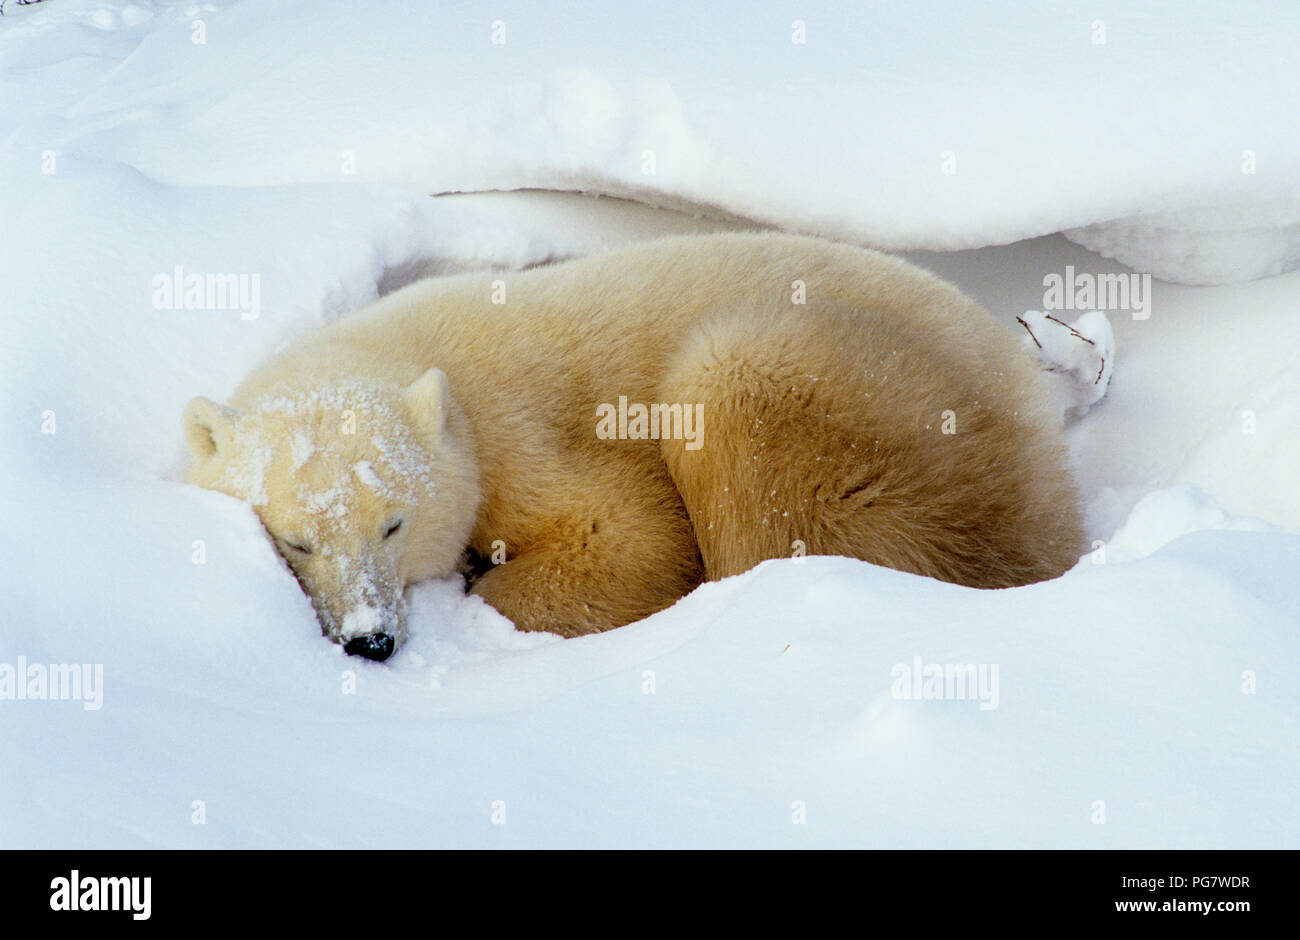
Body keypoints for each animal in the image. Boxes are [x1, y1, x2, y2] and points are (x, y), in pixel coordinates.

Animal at [183, 232, 1110, 661]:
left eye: (393, 524)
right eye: (295, 540)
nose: (369, 639)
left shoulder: (521, 432)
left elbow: (633, 535)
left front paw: (487, 586)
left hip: (904, 412)